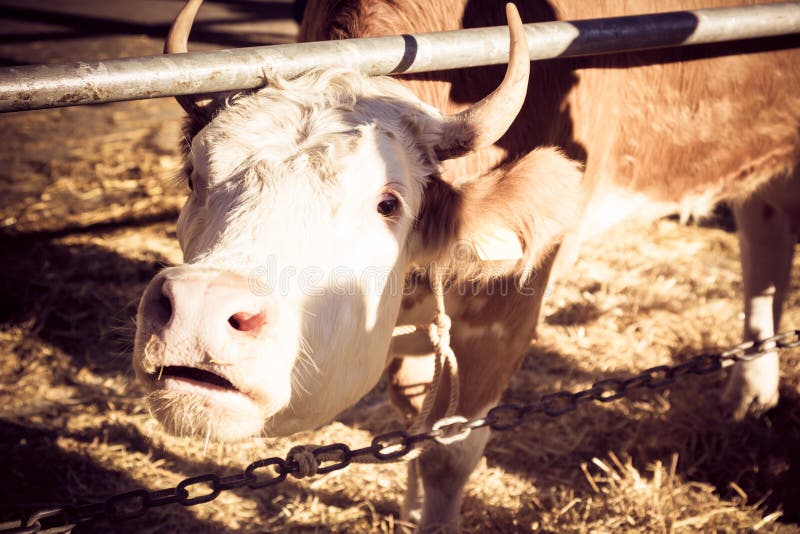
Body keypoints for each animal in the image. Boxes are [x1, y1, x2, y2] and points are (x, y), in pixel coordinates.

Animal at [133, 0, 800, 530]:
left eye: (388, 203)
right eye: (195, 176)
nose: (200, 310)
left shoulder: (506, 313)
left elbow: (447, 450)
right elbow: (414, 411)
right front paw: (408, 504)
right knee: (765, 231)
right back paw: (751, 391)